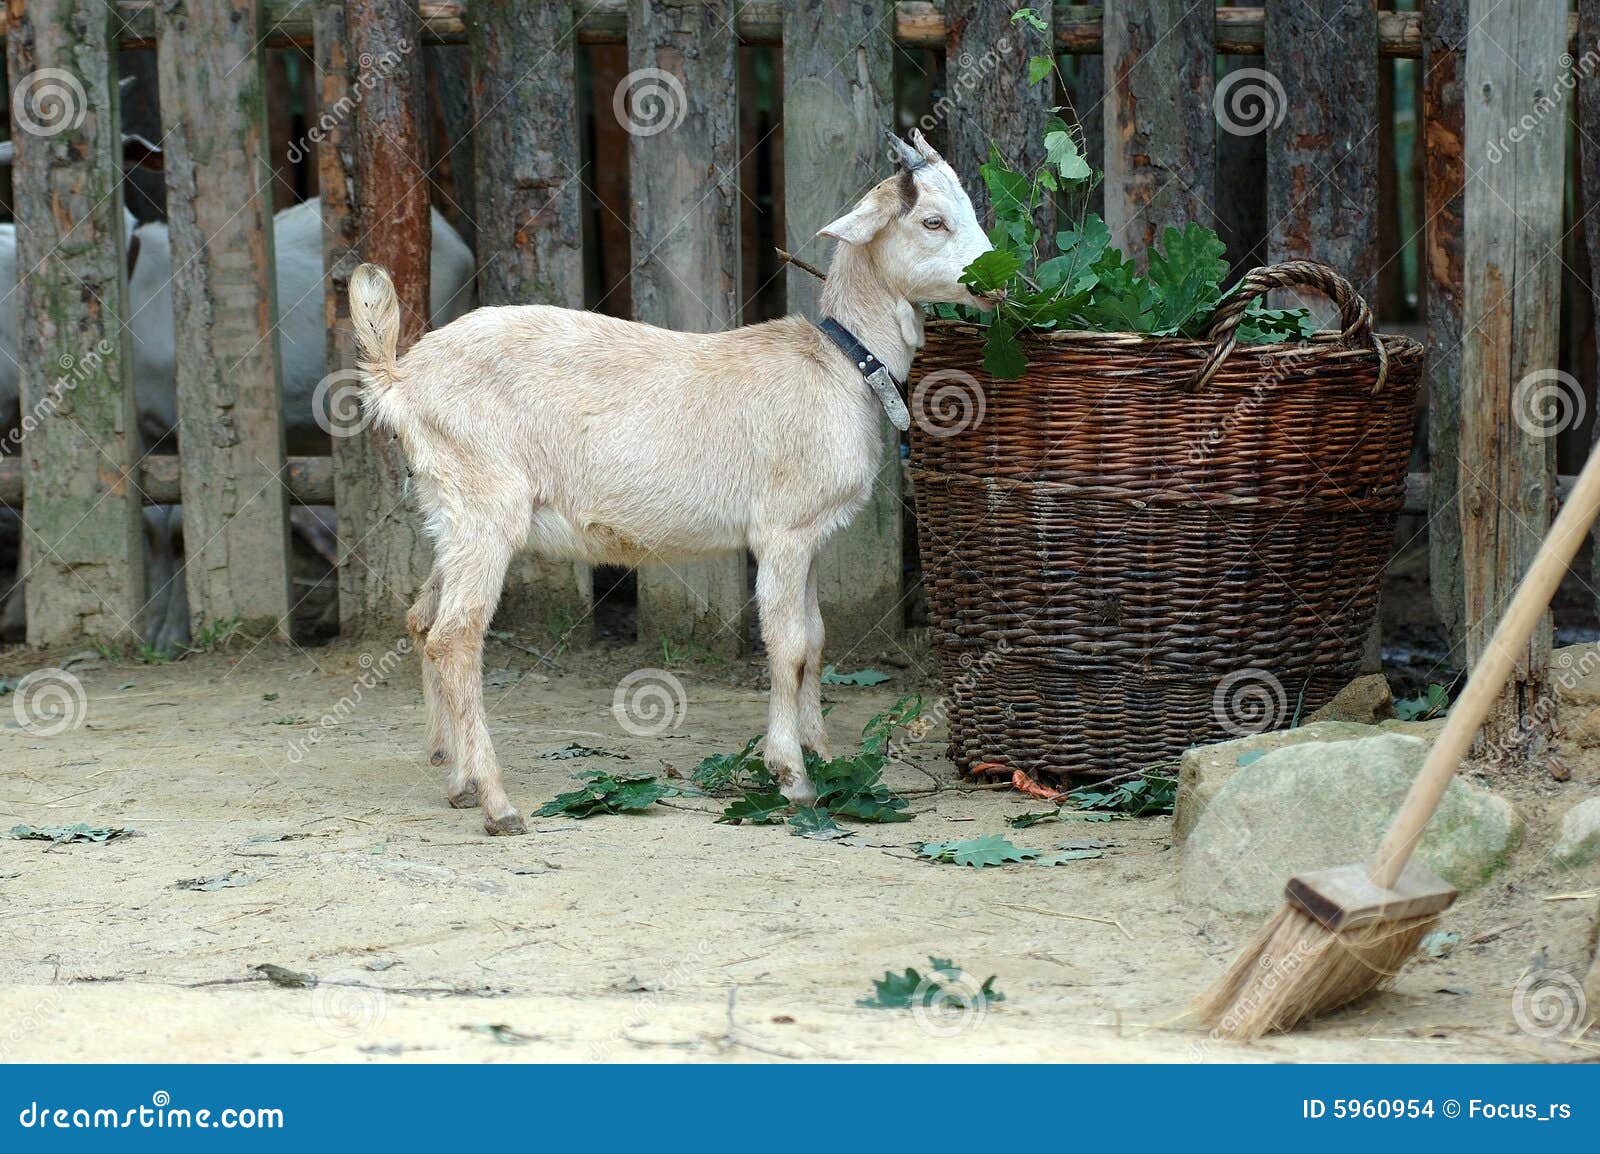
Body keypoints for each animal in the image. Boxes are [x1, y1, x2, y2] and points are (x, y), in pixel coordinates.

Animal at [348, 129, 991, 835]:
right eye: (932, 220)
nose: (999, 281)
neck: (842, 364)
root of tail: (399, 379)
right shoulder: (783, 531)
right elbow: (788, 645)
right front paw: (792, 776)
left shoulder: (812, 537)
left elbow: (818, 641)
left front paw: (822, 753)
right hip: (486, 504)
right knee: (456, 637)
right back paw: (497, 802)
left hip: (449, 510)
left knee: (422, 619)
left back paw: (458, 779)